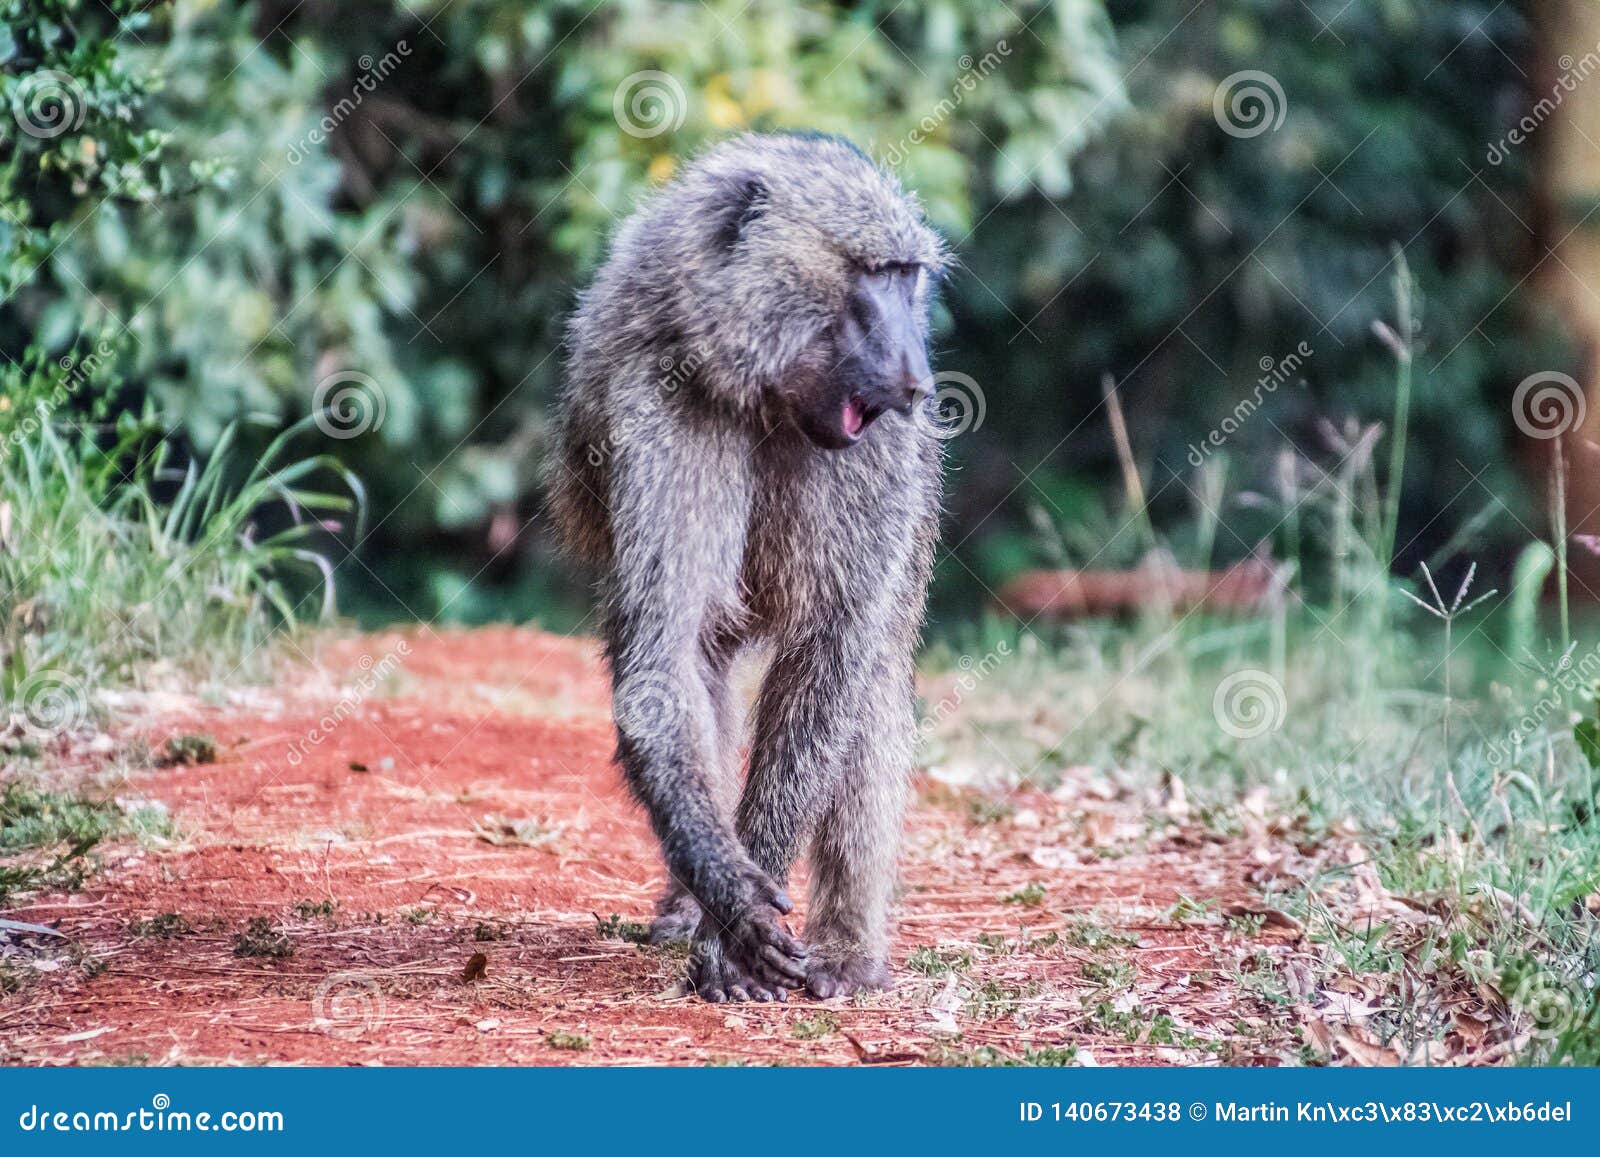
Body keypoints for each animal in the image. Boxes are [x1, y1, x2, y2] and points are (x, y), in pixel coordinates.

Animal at [546, 132, 948, 1002]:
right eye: (874, 274)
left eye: (908, 277)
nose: (916, 383)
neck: (761, 392)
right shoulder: (656, 404)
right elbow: (665, 653)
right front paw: (728, 892)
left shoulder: (882, 454)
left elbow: (830, 652)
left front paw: (744, 918)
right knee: (702, 664)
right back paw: (688, 904)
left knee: (867, 679)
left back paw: (845, 950)